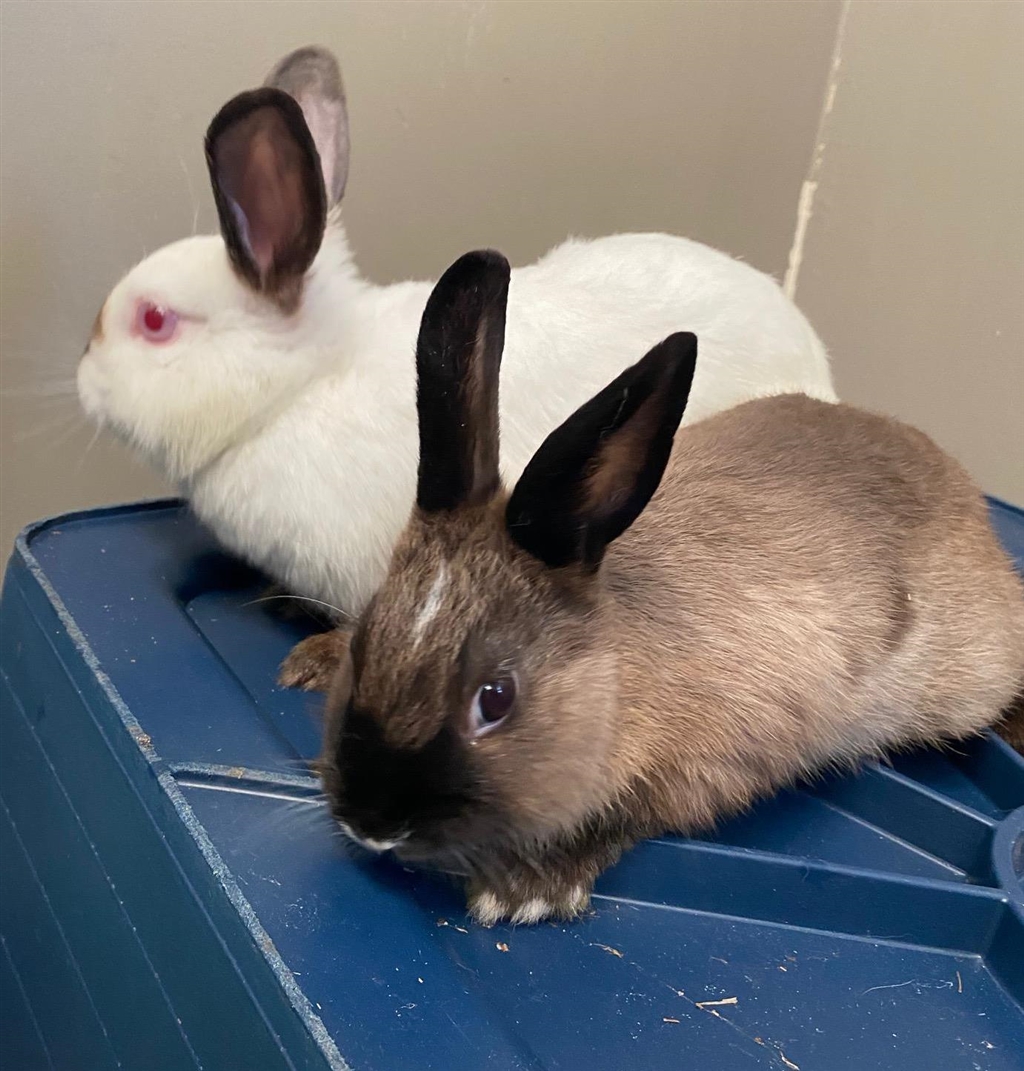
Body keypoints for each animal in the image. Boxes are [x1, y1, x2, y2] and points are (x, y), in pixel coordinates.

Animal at [311, 248, 1024, 926]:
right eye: (364, 644)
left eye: (496, 698)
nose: (370, 823)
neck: (618, 678)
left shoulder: (715, 763)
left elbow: (633, 814)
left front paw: (525, 890)